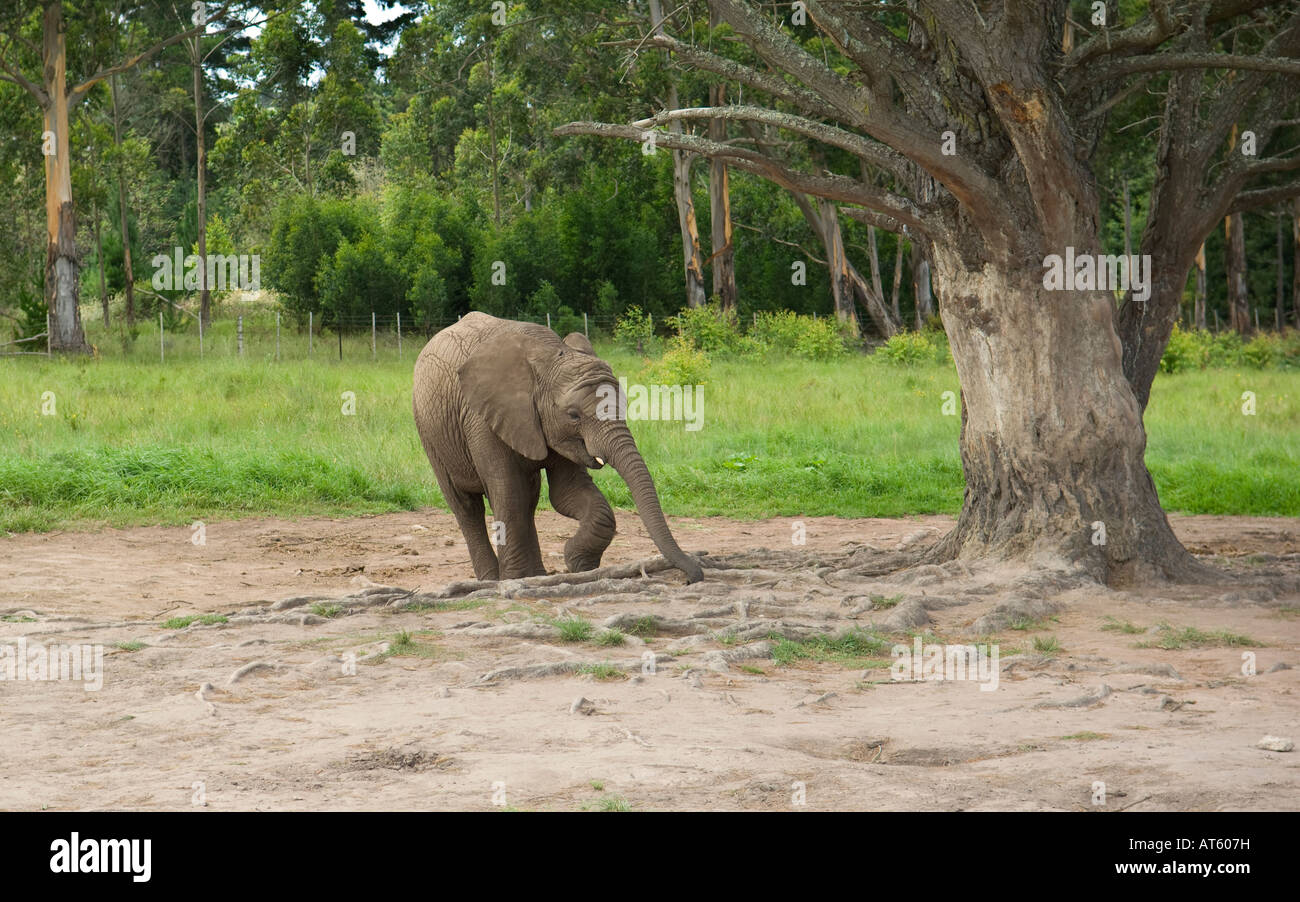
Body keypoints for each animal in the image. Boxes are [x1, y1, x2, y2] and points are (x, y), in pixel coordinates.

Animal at [412, 312, 703, 584]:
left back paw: (537, 574)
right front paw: (517, 579)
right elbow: (509, 494)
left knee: (528, 500)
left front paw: (578, 564)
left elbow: (567, 492)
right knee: (467, 507)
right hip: (430, 432)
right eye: (573, 415)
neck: (547, 354)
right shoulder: (481, 420)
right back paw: (493, 580)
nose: (691, 577)